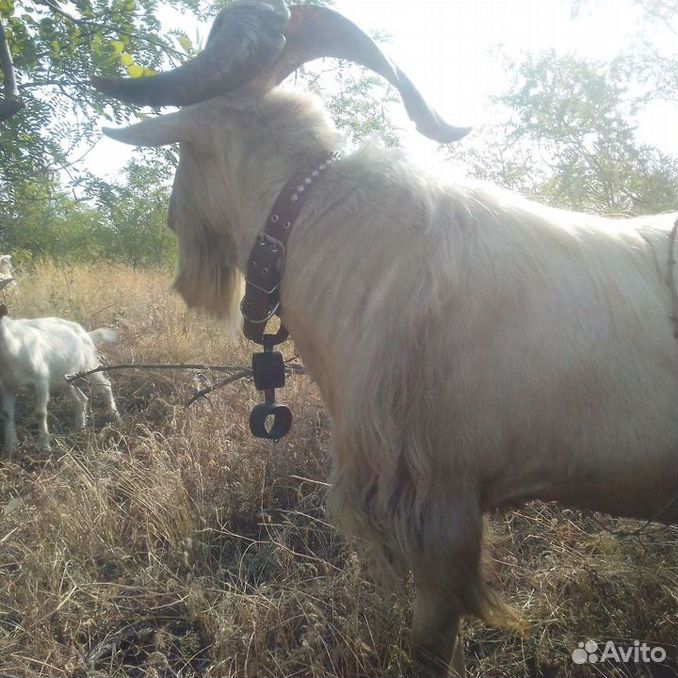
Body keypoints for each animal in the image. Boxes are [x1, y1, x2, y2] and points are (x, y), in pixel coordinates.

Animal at [0, 300, 121, 454]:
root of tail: (86, 334)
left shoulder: (41, 381)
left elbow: (40, 413)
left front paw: (45, 446)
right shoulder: (7, 385)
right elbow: (7, 414)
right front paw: (11, 446)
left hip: (89, 365)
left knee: (105, 385)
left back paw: (115, 416)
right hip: (65, 379)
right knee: (80, 399)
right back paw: (80, 426)